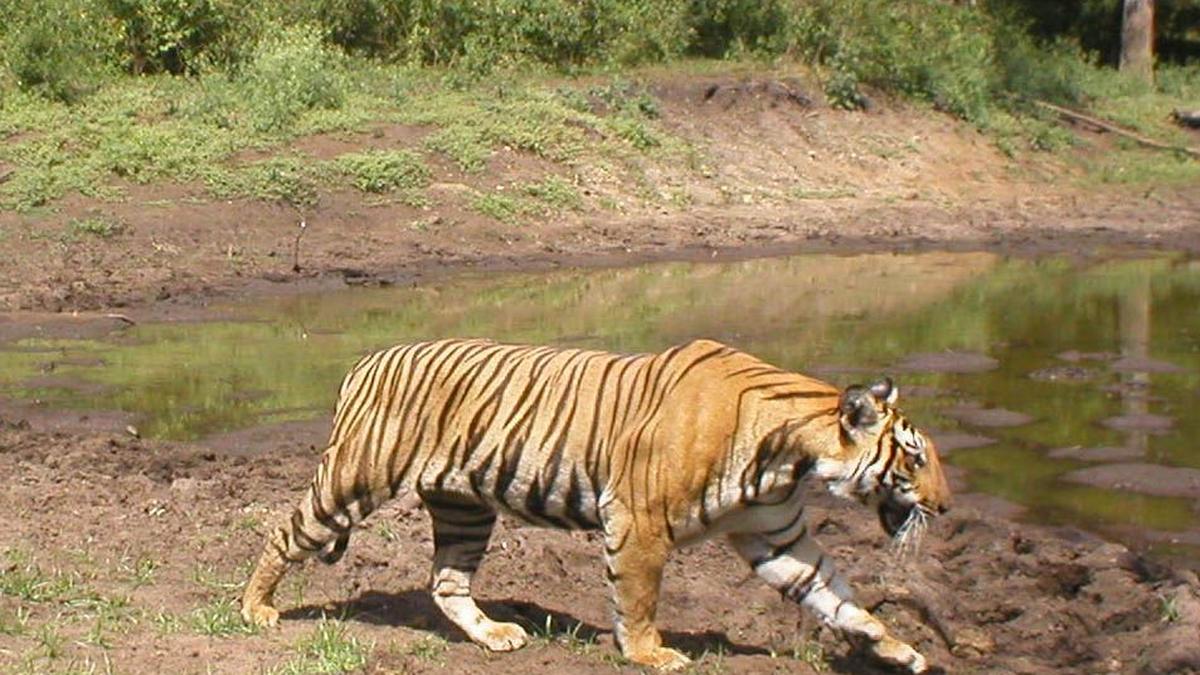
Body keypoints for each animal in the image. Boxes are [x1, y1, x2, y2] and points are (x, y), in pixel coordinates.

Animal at [241, 338, 950, 672]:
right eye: (915, 458)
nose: (945, 508)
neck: (792, 459)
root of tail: (366, 360)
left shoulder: (777, 536)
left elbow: (839, 598)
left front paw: (900, 650)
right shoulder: (640, 522)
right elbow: (638, 598)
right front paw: (650, 655)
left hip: (465, 507)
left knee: (446, 583)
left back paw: (495, 636)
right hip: (354, 480)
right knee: (285, 530)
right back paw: (256, 610)